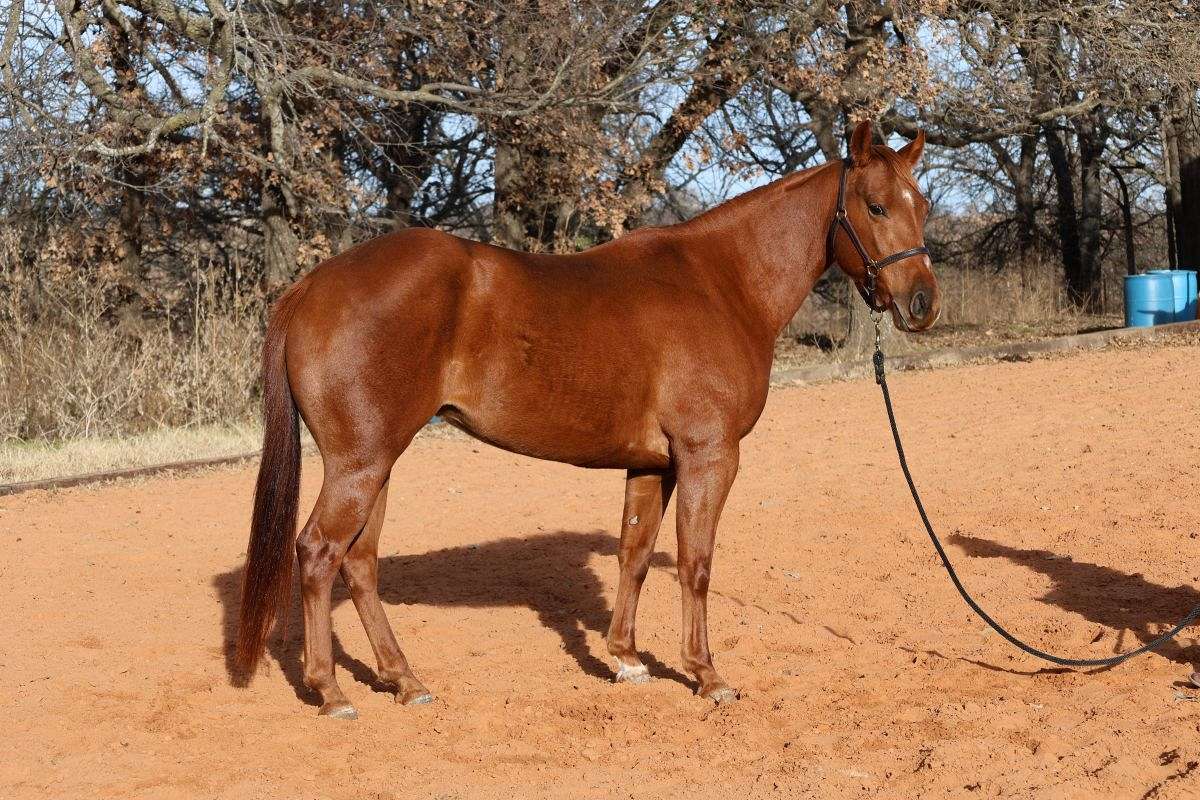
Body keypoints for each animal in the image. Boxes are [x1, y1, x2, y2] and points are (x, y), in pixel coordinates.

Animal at [235, 120, 940, 718]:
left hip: (376, 462)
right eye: (875, 205)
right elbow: (696, 562)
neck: (721, 282)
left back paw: (404, 680)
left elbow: (635, 552)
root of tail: (310, 287)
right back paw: (330, 692)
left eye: (924, 206)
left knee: (359, 562)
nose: (922, 304)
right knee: (318, 553)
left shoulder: (653, 464)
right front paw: (707, 675)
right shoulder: (708, 455)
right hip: (359, 463)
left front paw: (626, 660)